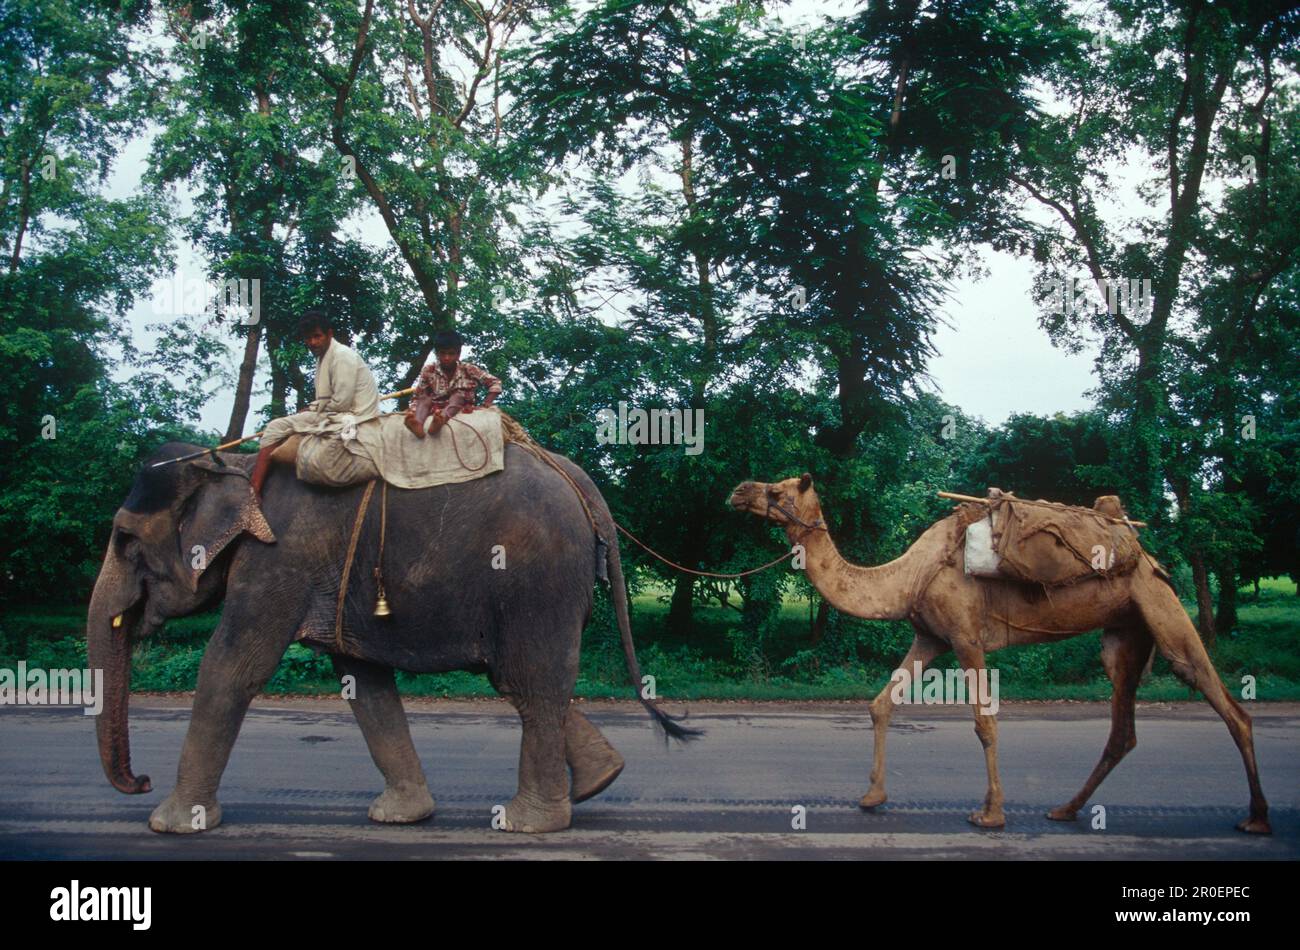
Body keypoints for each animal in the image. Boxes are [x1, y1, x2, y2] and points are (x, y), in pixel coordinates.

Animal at [87, 439, 696, 834]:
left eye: (124, 539)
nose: (141, 780)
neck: (235, 464)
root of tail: (579, 480)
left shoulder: (278, 559)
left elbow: (231, 667)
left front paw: (171, 824)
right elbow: (362, 679)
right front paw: (400, 816)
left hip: (535, 581)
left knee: (530, 684)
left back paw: (527, 824)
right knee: (520, 682)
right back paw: (597, 781)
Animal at [728, 473, 1270, 834]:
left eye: (778, 490)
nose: (738, 489)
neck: (907, 576)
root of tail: (1144, 554)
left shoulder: (967, 638)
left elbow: (984, 723)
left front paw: (991, 813)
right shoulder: (930, 637)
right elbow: (882, 704)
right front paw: (873, 795)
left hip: (1161, 608)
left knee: (1226, 703)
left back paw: (1257, 819)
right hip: (1125, 633)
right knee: (1123, 728)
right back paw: (1066, 809)